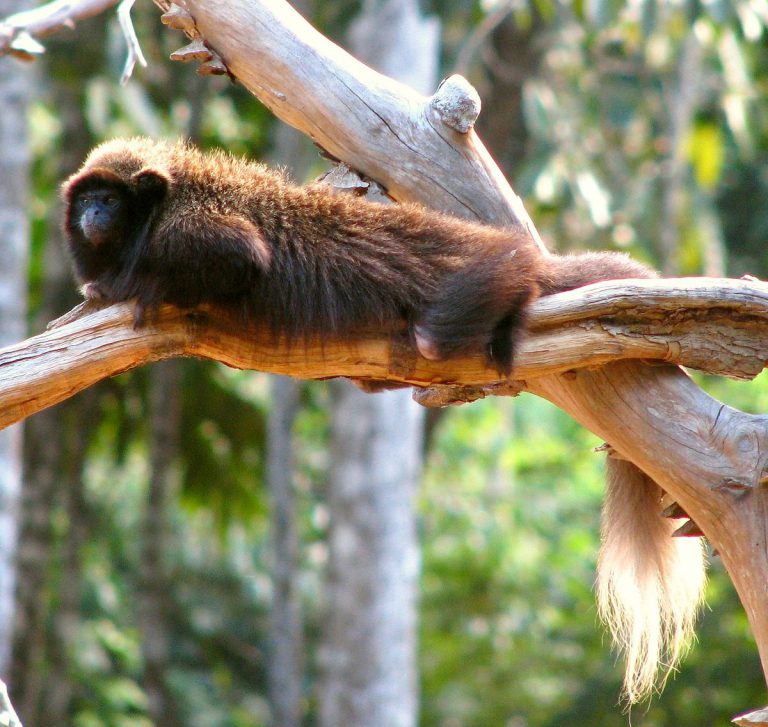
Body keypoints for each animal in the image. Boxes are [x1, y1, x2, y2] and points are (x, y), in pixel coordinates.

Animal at [62, 137, 705, 702]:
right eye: (88, 199)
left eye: (110, 200)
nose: (92, 213)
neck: (159, 207)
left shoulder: (191, 228)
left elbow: (240, 256)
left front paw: (132, 284)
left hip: (492, 269)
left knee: (441, 331)